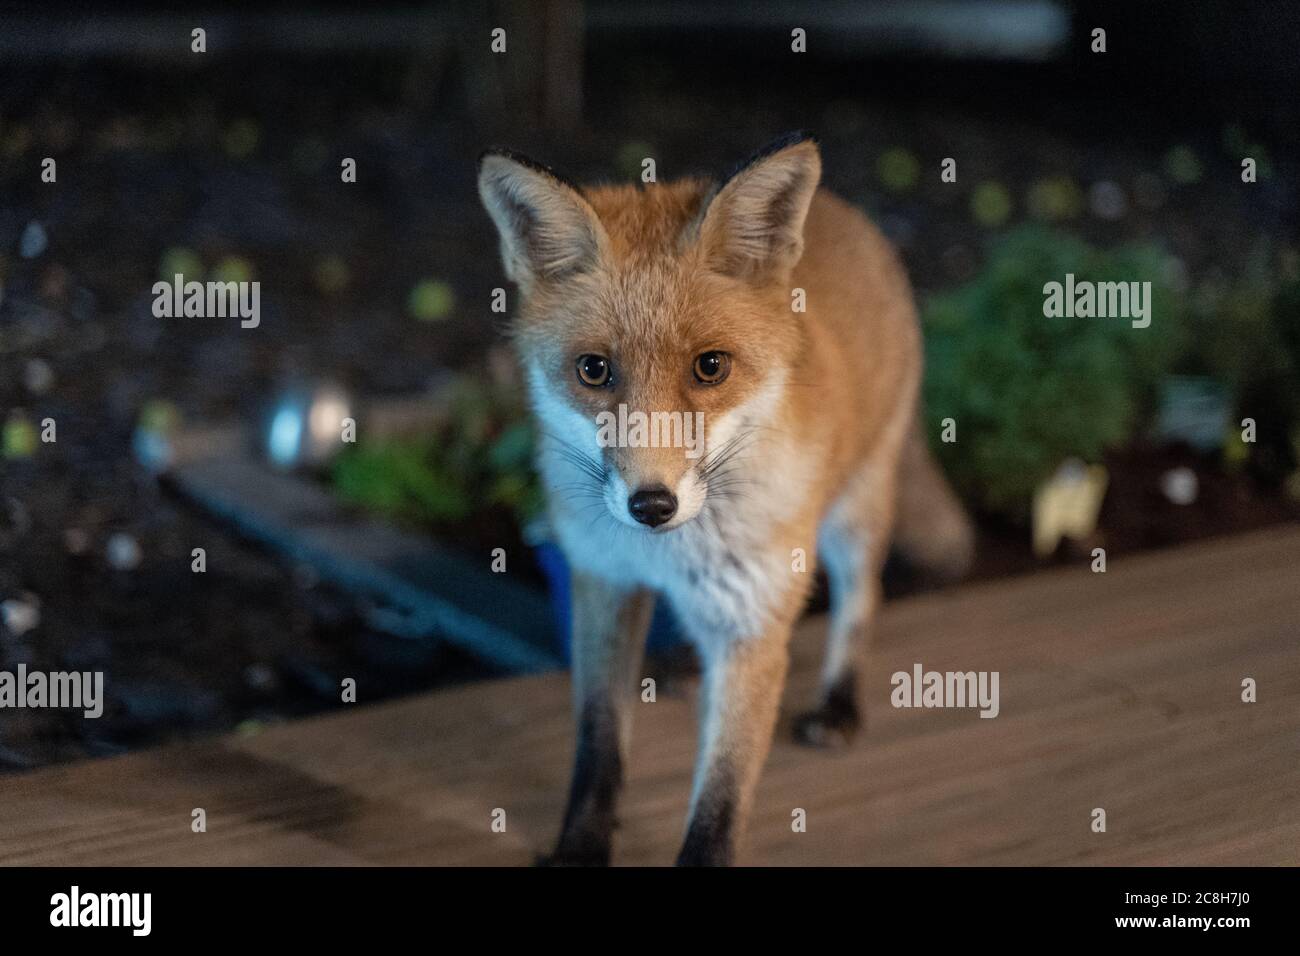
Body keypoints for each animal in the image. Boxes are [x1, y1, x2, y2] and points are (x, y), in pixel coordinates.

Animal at [477, 132, 973, 866]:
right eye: (594, 370)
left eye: (710, 367)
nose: (652, 506)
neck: (669, 555)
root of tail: (846, 211)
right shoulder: (603, 584)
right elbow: (598, 743)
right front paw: (579, 848)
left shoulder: (754, 629)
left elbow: (721, 797)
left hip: (857, 510)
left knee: (863, 596)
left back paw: (839, 704)